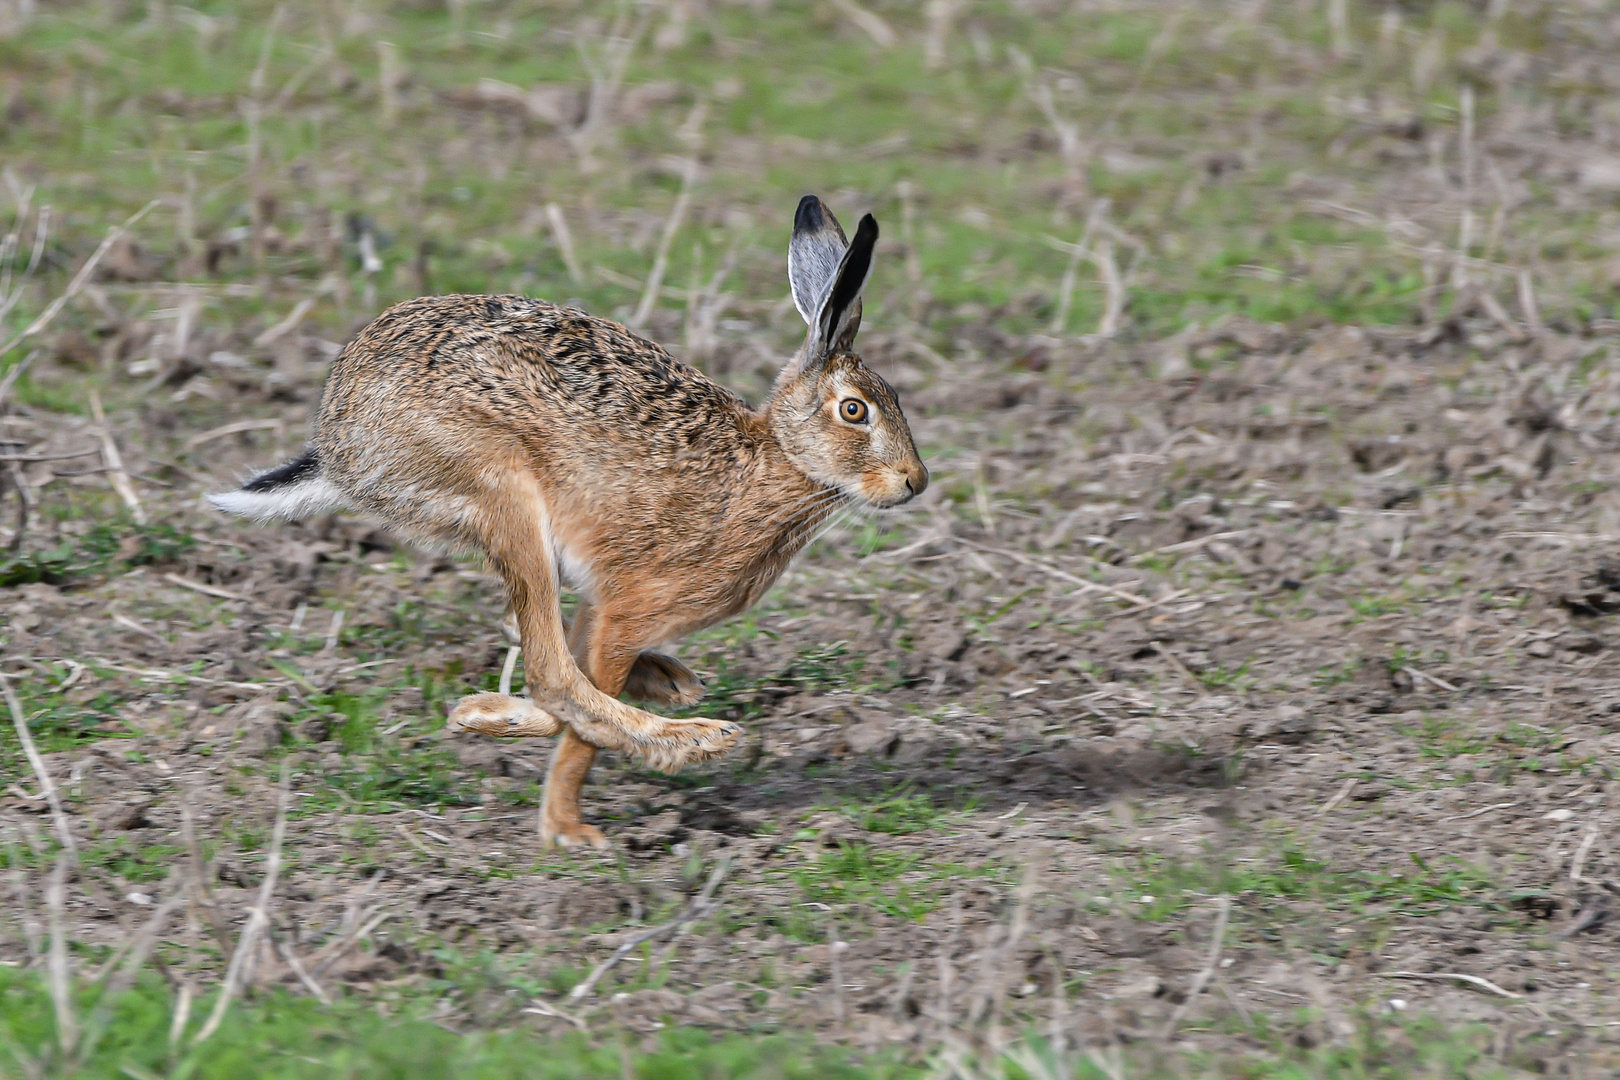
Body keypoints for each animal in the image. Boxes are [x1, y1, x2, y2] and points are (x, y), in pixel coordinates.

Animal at [210, 195, 927, 848]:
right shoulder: (627, 610)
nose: (914, 481)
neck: (775, 458)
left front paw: (482, 719)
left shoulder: (599, 604)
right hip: (504, 493)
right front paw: (565, 829)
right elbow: (577, 713)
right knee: (551, 673)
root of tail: (339, 439)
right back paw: (693, 738)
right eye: (856, 410)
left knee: (536, 646)